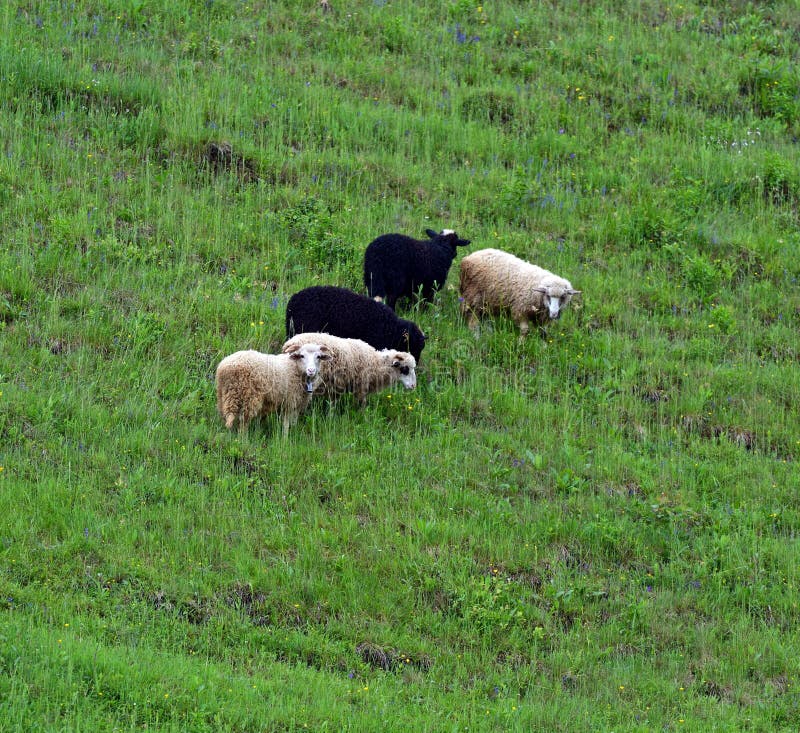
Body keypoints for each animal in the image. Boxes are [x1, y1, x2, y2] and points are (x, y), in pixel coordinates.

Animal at [282, 332, 416, 404]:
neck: (376, 363)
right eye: (405, 369)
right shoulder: (362, 385)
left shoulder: (336, 386)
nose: (413, 386)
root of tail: (289, 343)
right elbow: (361, 404)